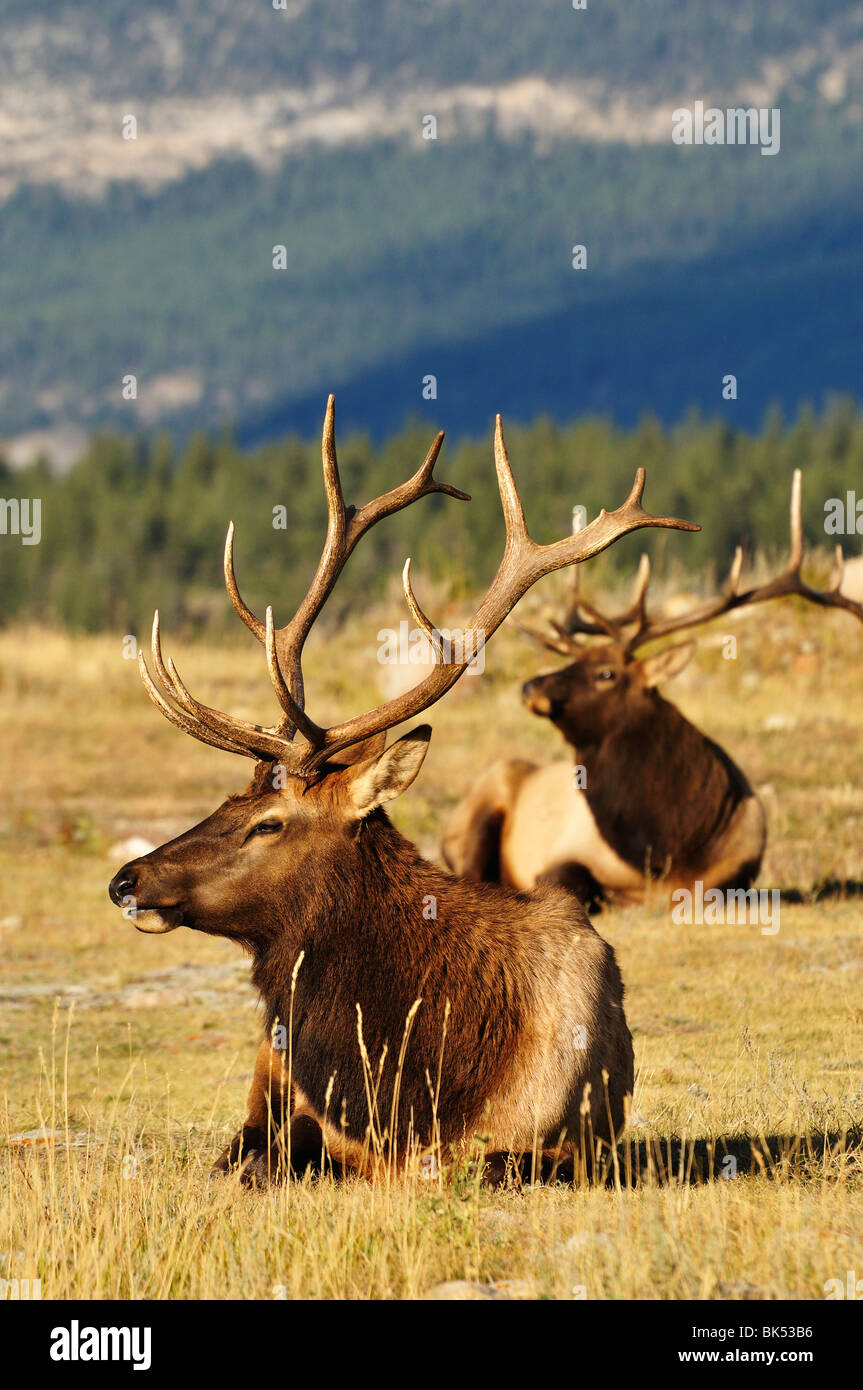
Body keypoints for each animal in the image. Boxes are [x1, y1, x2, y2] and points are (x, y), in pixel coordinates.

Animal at [107, 397, 697, 1186]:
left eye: (267, 822)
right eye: (227, 802)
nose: (125, 878)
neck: (415, 1094)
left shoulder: (565, 1143)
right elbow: (262, 1150)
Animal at [442, 471, 863, 907]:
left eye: (606, 674)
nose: (530, 685)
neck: (670, 848)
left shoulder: (739, 871)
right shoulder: (565, 854)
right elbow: (573, 880)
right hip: (479, 808)